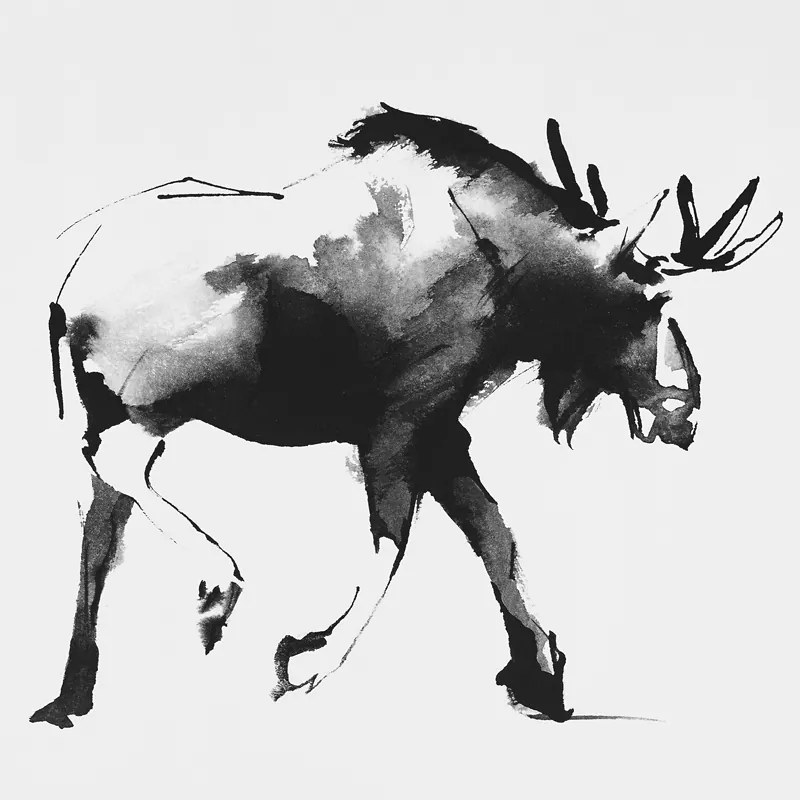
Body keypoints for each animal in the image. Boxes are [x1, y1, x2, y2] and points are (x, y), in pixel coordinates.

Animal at [31, 103, 782, 728]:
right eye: (652, 303)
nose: (685, 409)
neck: (514, 271)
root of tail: (65, 285)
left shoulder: (443, 429)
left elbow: (494, 537)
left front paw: (541, 675)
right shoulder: (399, 422)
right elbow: (395, 545)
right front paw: (305, 661)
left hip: (106, 406)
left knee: (97, 527)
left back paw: (71, 694)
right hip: (158, 402)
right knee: (117, 467)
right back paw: (218, 587)